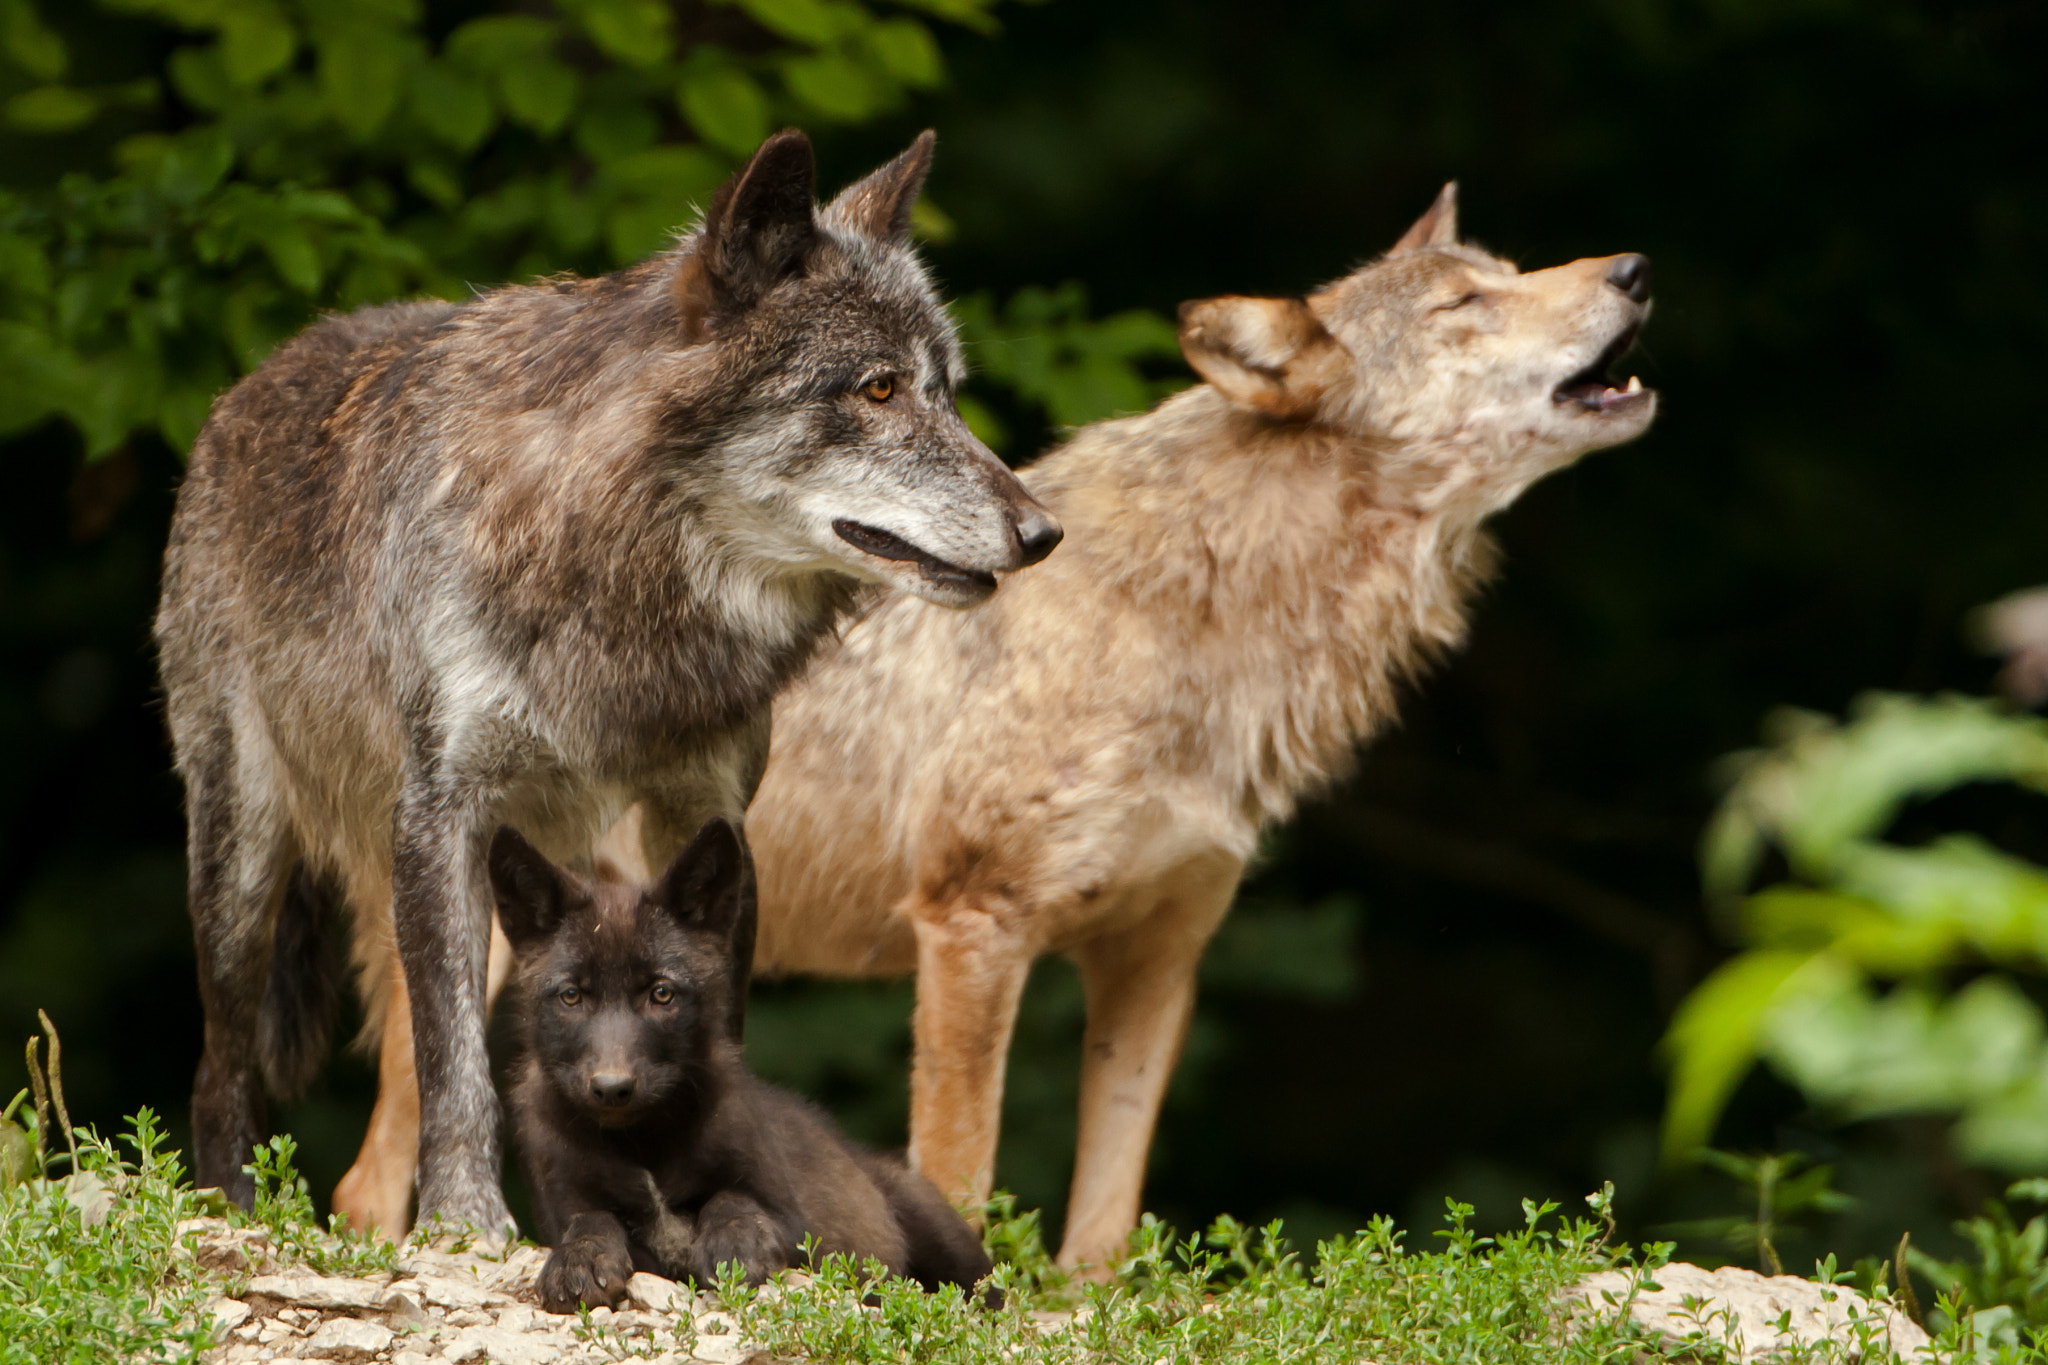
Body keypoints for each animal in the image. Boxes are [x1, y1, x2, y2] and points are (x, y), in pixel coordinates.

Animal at [154, 127, 1060, 1236]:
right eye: (878, 389)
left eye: (949, 391)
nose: (1043, 532)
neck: (627, 570)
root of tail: (247, 388)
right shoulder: (440, 816)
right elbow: (453, 1062)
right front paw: (467, 1223)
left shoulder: (708, 821)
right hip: (241, 862)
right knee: (220, 1065)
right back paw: (231, 1204)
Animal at [493, 817, 994, 1310]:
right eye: (571, 996)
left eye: (661, 993)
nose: (612, 1088)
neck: (642, 1145)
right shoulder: (564, 1203)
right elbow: (591, 1220)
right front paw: (578, 1262)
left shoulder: (791, 1218)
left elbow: (733, 1202)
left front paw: (734, 1247)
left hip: (939, 1232)